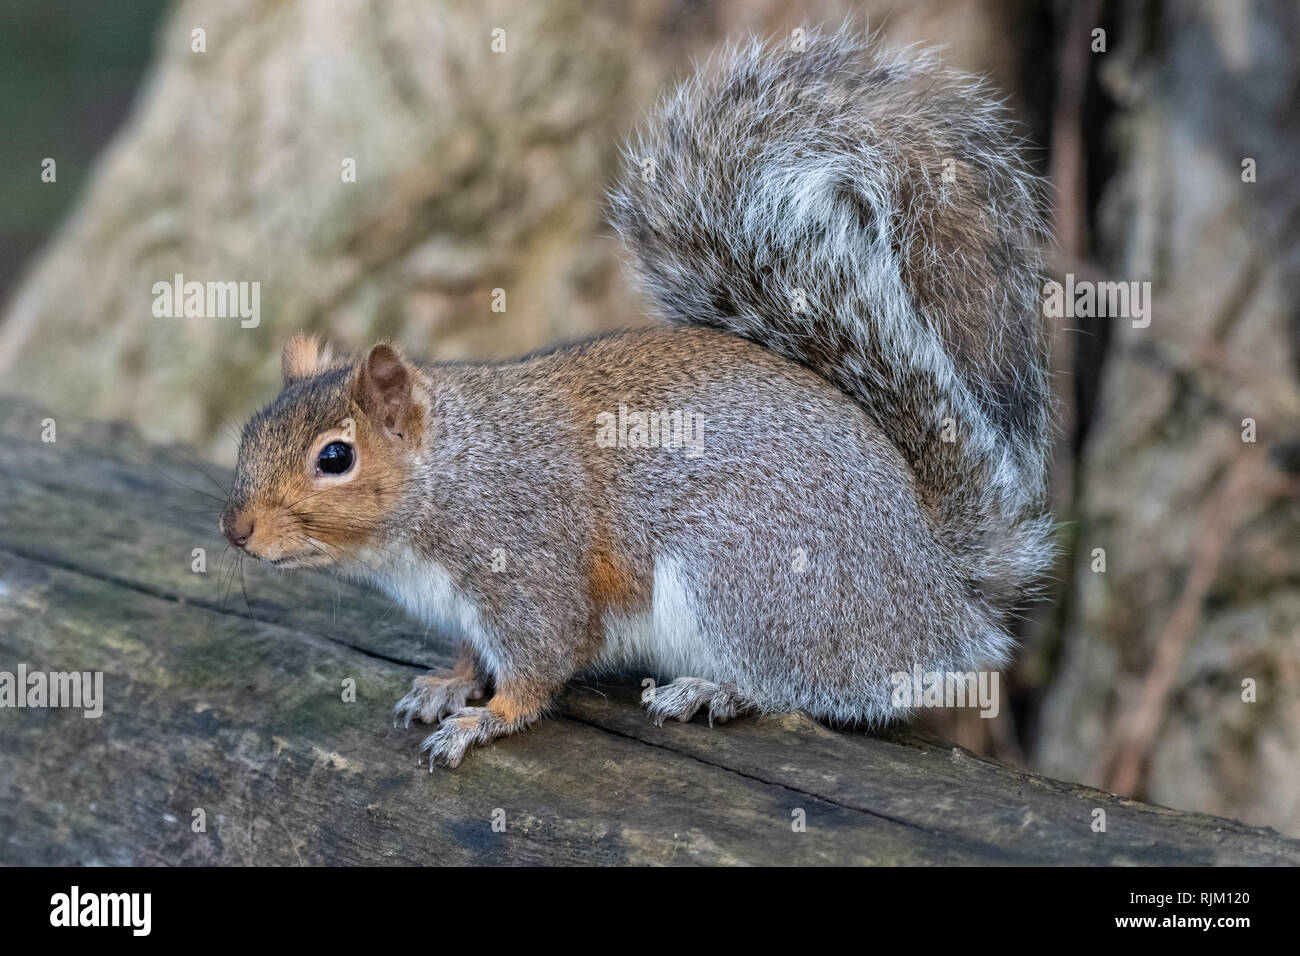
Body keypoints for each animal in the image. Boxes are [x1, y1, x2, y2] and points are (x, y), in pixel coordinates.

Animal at [222, 27, 1053, 769]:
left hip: (743, 575)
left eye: (336, 458)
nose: (235, 531)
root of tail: (941, 587)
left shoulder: (529, 561)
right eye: (248, 433)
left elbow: (540, 664)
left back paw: (712, 691)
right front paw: (447, 685)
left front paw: (486, 720)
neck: (448, 479)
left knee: (804, 687)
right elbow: (469, 653)